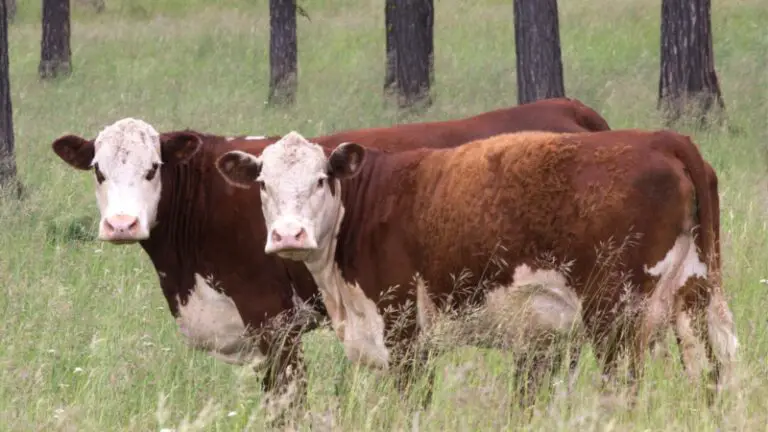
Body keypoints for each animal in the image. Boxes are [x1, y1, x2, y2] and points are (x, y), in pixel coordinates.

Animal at [49, 97, 612, 407]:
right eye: (98, 170)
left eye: (153, 169)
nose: (122, 224)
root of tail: (567, 108)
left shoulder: (273, 322)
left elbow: (289, 404)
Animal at [215, 129, 738, 406]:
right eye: (262, 183)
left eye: (321, 180)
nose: (289, 235)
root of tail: (661, 137)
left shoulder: (405, 334)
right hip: (692, 297)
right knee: (711, 370)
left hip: (616, 315)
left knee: (624, 387)